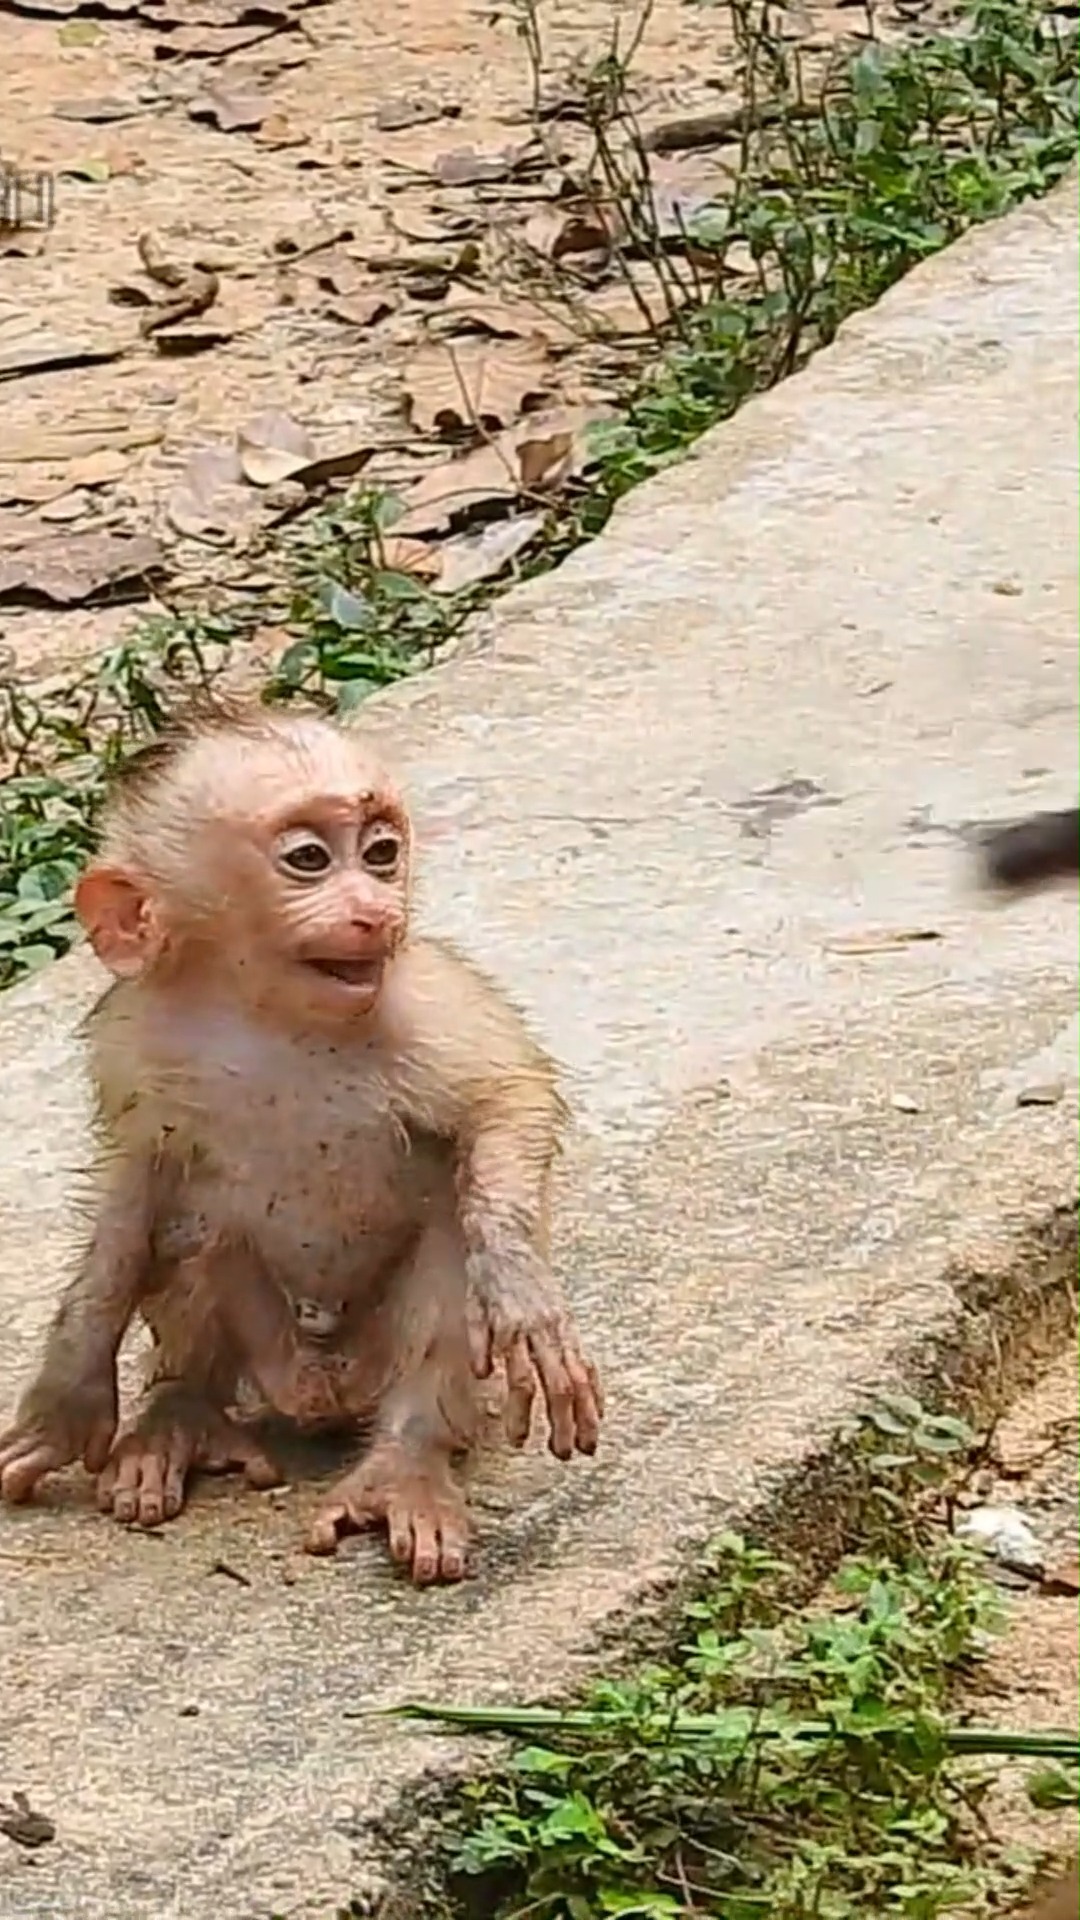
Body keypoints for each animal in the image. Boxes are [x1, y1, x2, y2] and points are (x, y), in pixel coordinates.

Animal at [0, 703, 602, 1585]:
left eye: (381, 853)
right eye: (309, 860)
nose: (376, 910)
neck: (271, 1019)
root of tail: (322, 1391)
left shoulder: (420, 996)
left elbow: (506, 1101)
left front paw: (519, 1291)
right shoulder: (135, 1035)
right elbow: (134, 1193)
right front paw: (70, 1392)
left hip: (371, 1362)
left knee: (445, 1238)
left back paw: (407, 1461)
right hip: (269, 1357)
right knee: (198, 1224)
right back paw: (182, 1410)